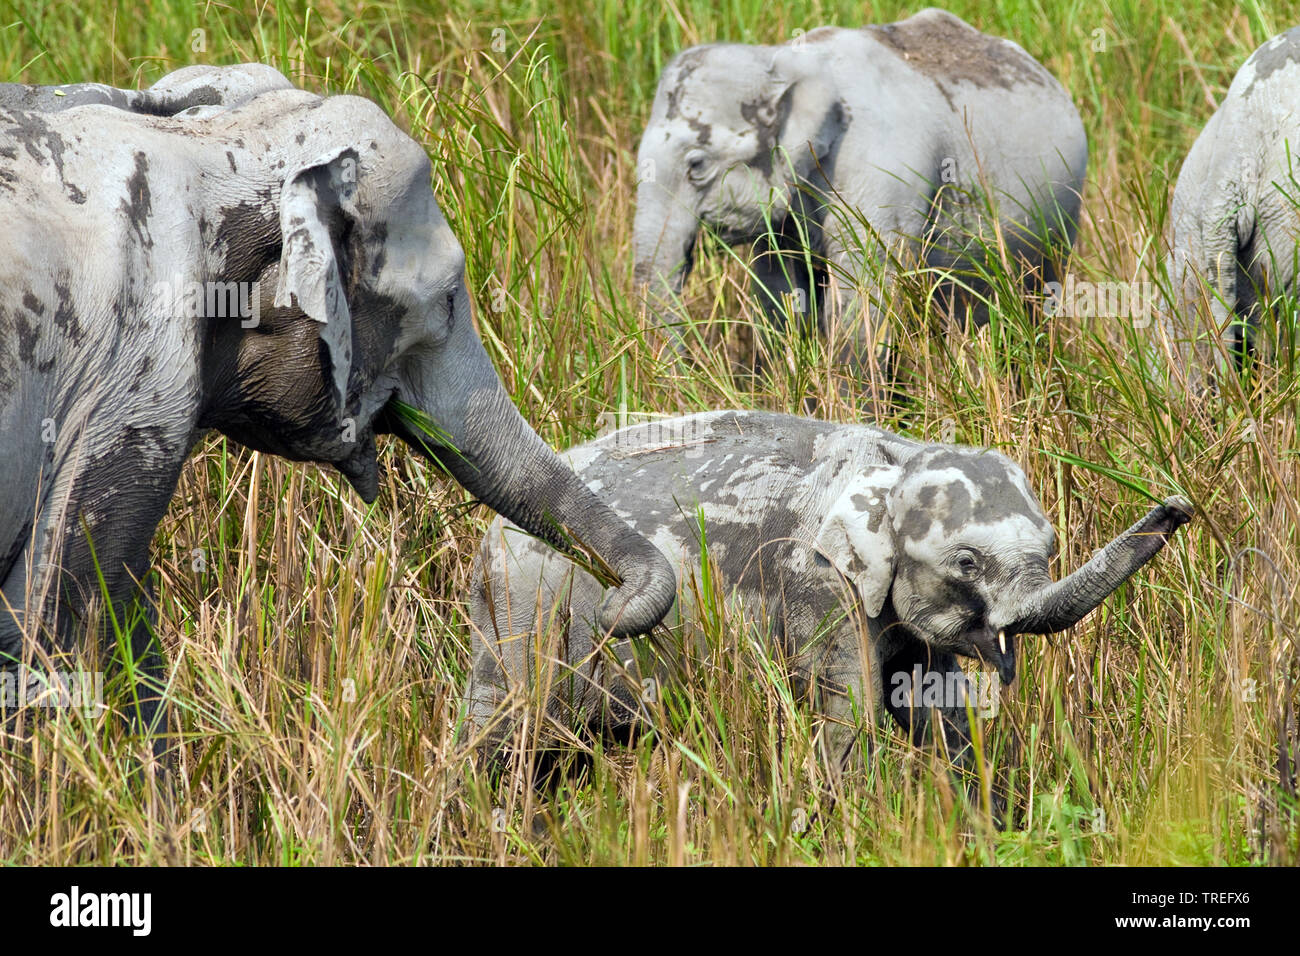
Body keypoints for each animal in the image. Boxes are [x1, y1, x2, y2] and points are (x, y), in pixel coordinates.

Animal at [467, 411, 1193, 775]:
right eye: (967, 560)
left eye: (1049, 542)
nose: (1178, 505)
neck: (893, 454)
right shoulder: (817, 582)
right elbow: (853, 714)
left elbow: (938, 710)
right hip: (522, 611)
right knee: (507, 728)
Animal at [632, 8, 1088, 370]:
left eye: (697, 166)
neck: (783, 61)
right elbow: (780, 290)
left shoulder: (880, 176)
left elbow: (861, 296)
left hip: (1061, 220)